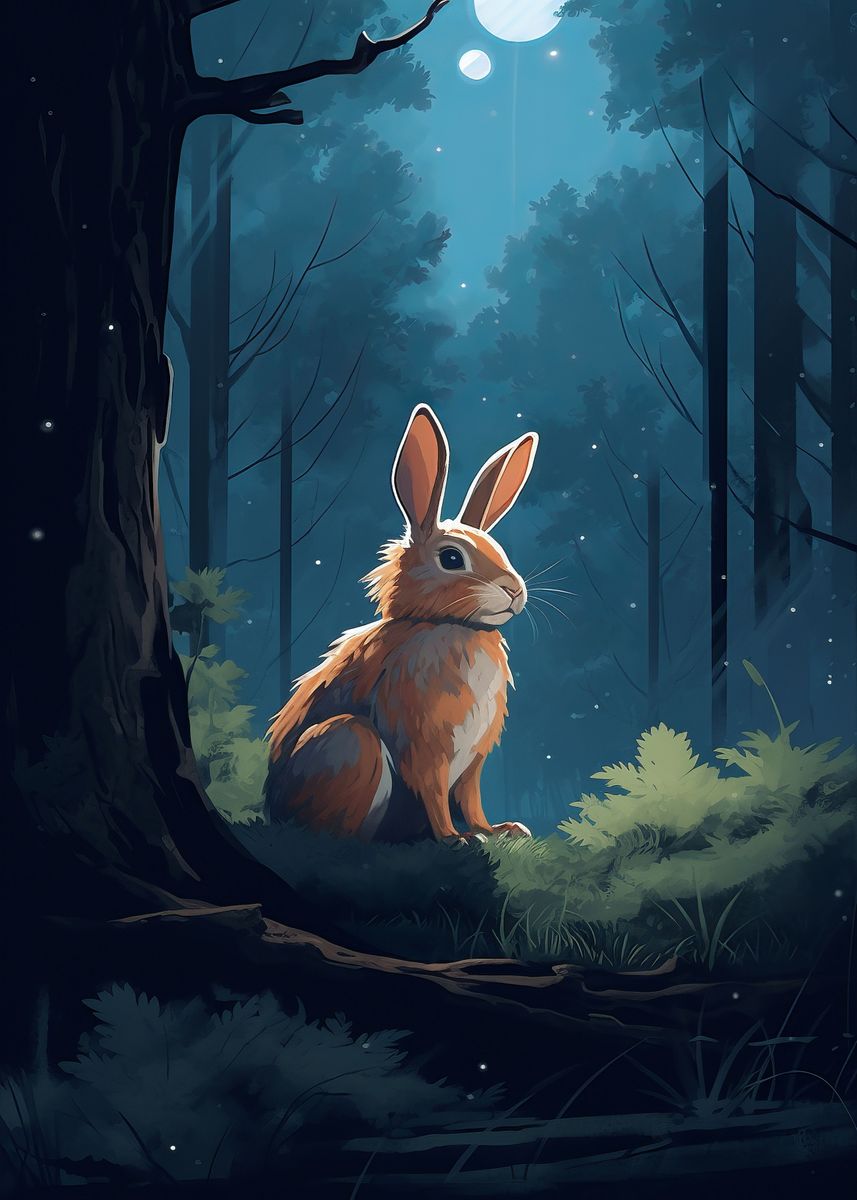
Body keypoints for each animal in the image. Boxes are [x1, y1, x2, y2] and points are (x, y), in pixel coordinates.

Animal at [264, 403, 538, 845]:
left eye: (499, 550)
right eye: (451, 558)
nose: (514, 590)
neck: (446, 624)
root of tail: (274, 808)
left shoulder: (474, 759)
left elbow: (471, 797)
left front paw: (498, 829)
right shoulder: (424, 743)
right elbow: (435, 792)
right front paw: (456, 838)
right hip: (352, 742)